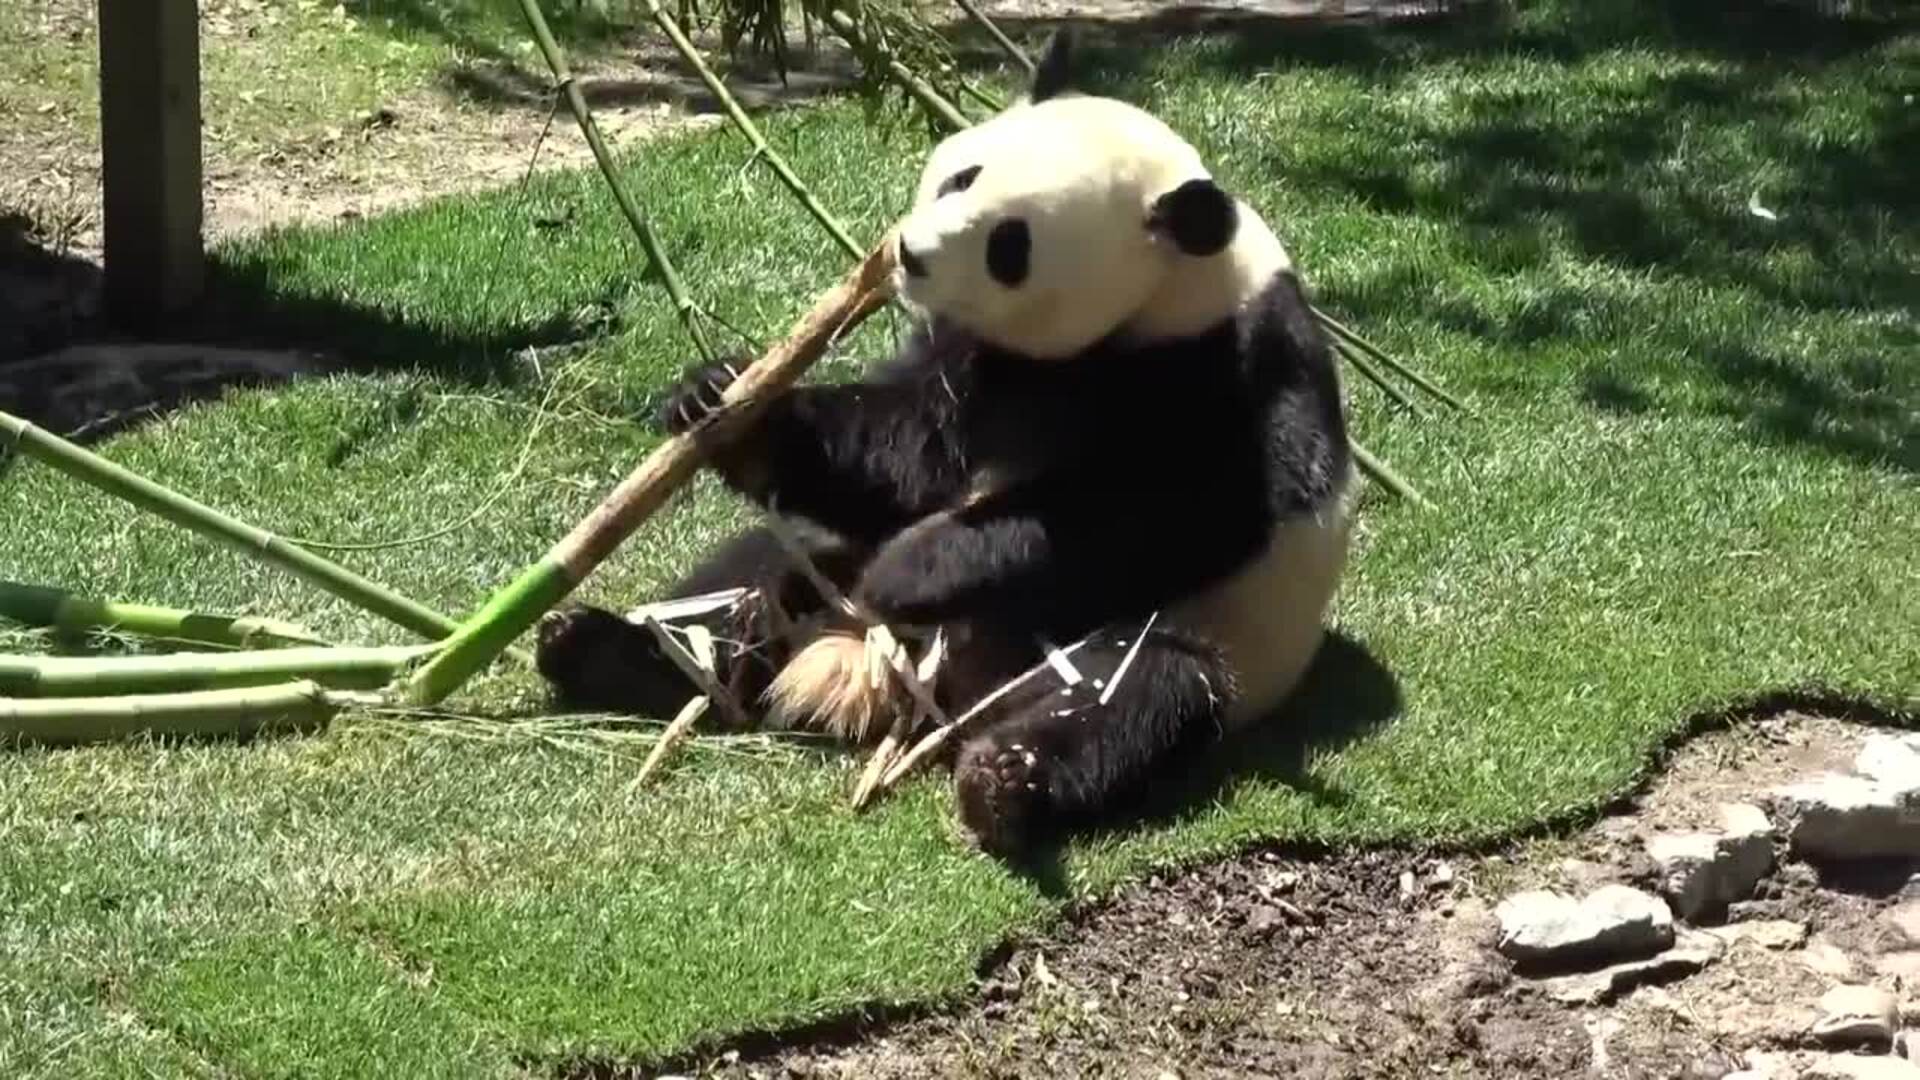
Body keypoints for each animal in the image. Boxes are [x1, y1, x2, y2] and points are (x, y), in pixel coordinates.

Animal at [534, 28, 1357, 859]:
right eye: (963, 177)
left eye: (1010, 245)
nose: (910, 253)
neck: (1174, 285)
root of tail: (893, 676)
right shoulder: (976, 358)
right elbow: (911, 446)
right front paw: (723, 399)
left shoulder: (1226, 374)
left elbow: (1157, 518)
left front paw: (918, 567)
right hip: (812, 571)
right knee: (745, 583)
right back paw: (601, 647)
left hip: (1191, 640)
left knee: (1134, 696)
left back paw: (1004, 779)